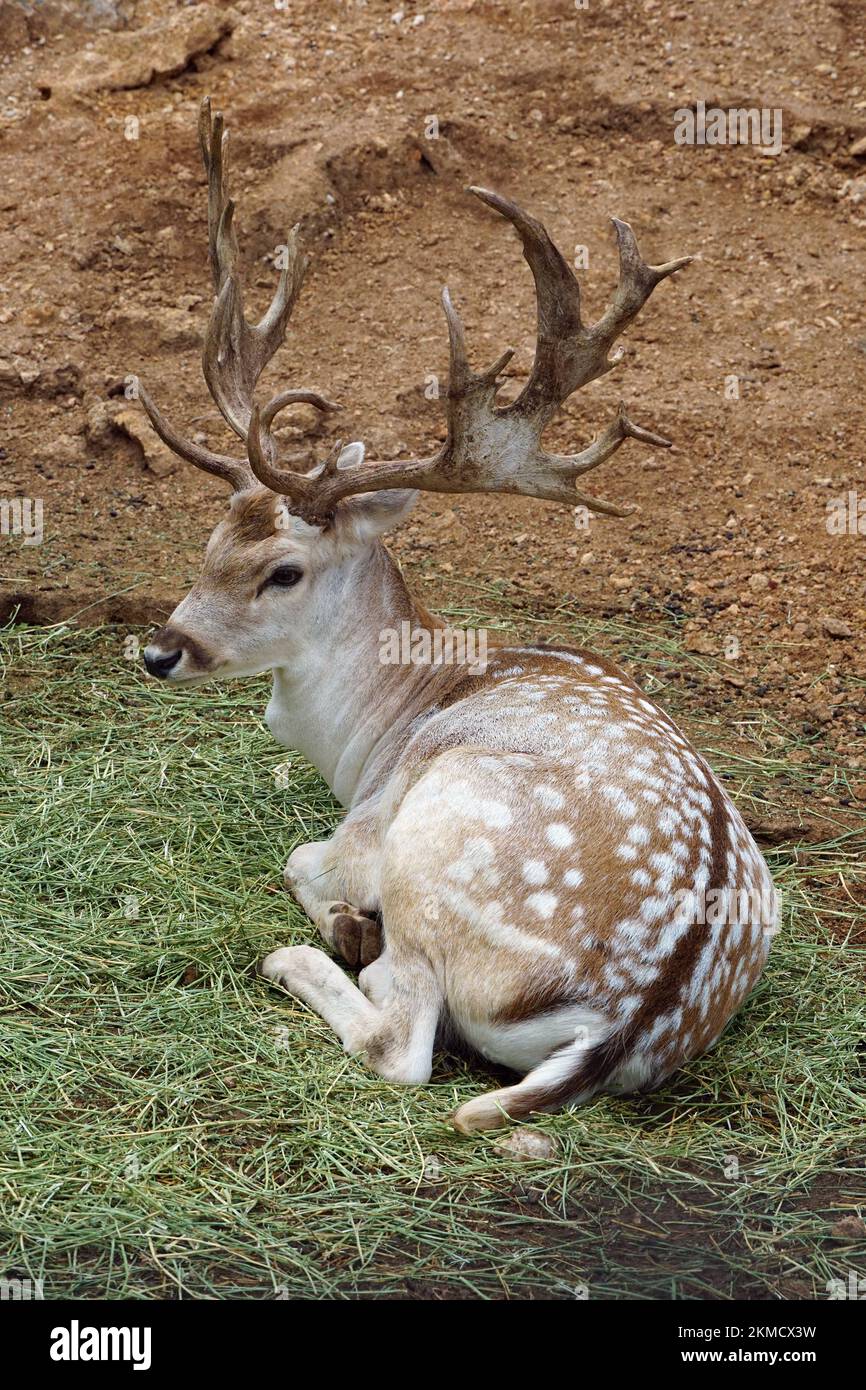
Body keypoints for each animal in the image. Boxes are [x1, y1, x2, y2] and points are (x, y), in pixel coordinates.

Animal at [138, 100, 777, 1133]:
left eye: (284, 572)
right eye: (209, 538)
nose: (161, 650)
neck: (378, 726)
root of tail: (628, 1018)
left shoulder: (367, 825)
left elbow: (301, 858)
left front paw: (342, 922)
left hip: (440, 844)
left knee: (403, 1042)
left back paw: (316, 955)